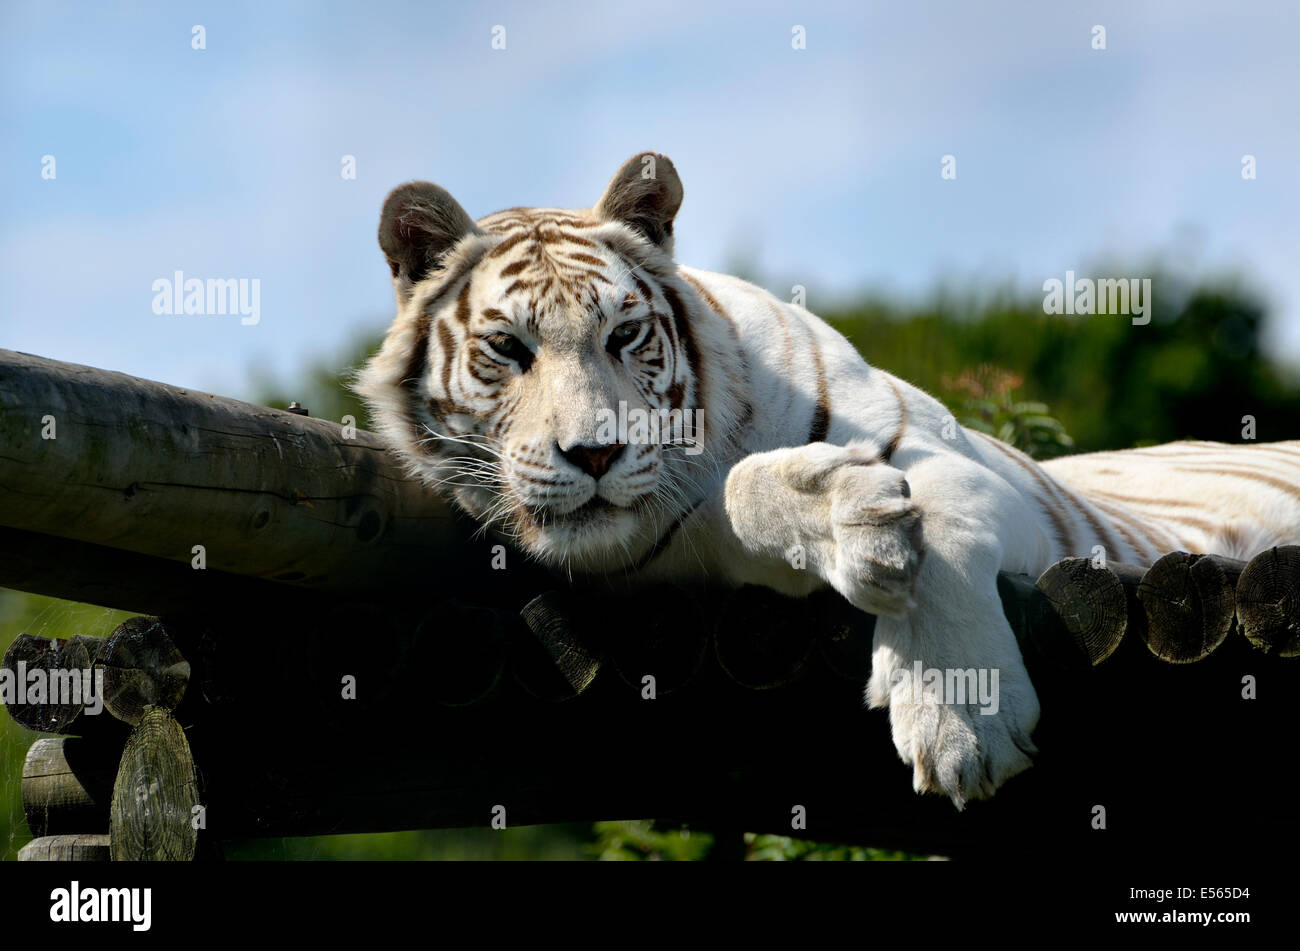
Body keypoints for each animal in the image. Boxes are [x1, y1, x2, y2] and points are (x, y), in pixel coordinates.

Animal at [355, 151, 1300, 807]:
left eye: (624, 336)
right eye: (507, 348)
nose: (596, 453)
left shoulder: (957, 460)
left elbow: (938, 538)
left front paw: (962, 728)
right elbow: (745, 498)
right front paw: (856, 519)